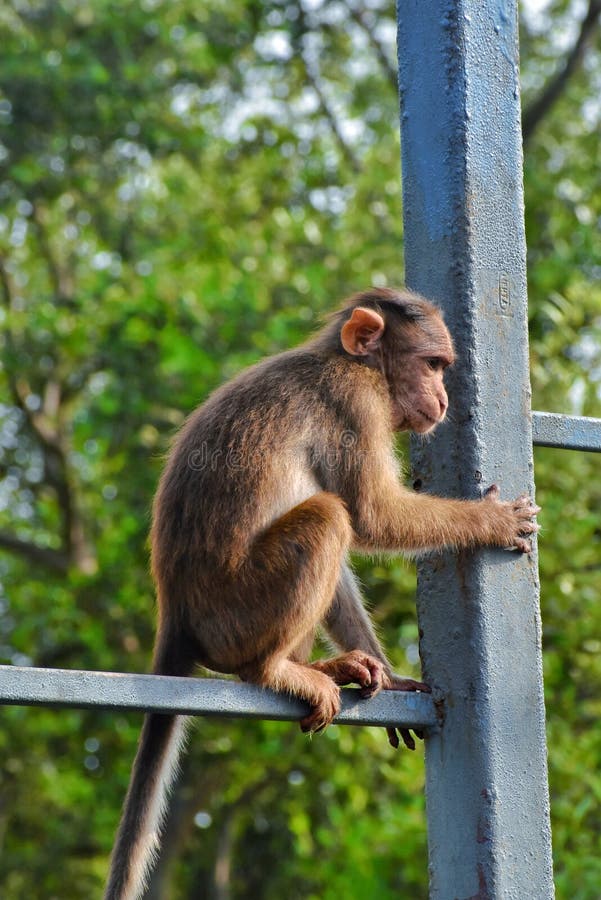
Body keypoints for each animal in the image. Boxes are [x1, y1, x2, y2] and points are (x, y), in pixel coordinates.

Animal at [104, 287, 540, 900]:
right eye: (432, 364)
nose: (443, 397)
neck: (354, 362)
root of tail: (178, 613)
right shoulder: (356, 405)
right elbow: (373, 514)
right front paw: (490, 522)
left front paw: (393, 676)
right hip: (237, 614)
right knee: (330, 517)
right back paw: (273, 671)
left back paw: (330, 666)